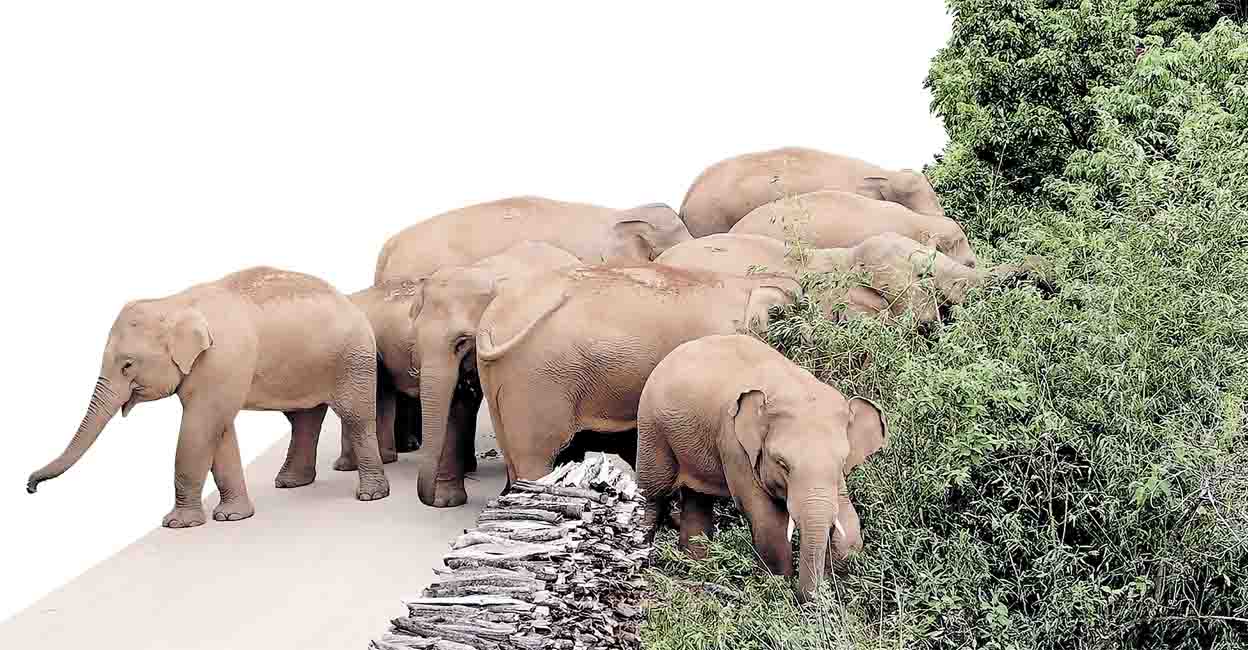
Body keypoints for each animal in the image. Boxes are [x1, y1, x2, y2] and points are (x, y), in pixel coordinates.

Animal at [26, 267, 390, 528]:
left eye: (127, 365)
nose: (30, 488)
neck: (174, 302)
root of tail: (351, 302)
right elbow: (219, 429)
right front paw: (233, 517)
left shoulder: (220, 360)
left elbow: (200, 426)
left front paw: (178, 524)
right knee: (304, 419)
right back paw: (290, 484)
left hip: (353, 358)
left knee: (355, 417)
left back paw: (371, 496)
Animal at [410, 240, 581, 508]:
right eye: (416, 338)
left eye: (461, 342)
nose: (430, 498)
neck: (484, 273)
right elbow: (456, 404)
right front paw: (447, 502)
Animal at [636, 334, 887, 601]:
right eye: (782, 463)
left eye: (842, 462)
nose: (810, 599)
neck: (795, 387)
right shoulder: (734, 444)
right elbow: (768, 520)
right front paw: (778, 590)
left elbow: (849, 522)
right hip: (652, 428)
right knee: (652, 494)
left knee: (697, 498)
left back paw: (698, 569)